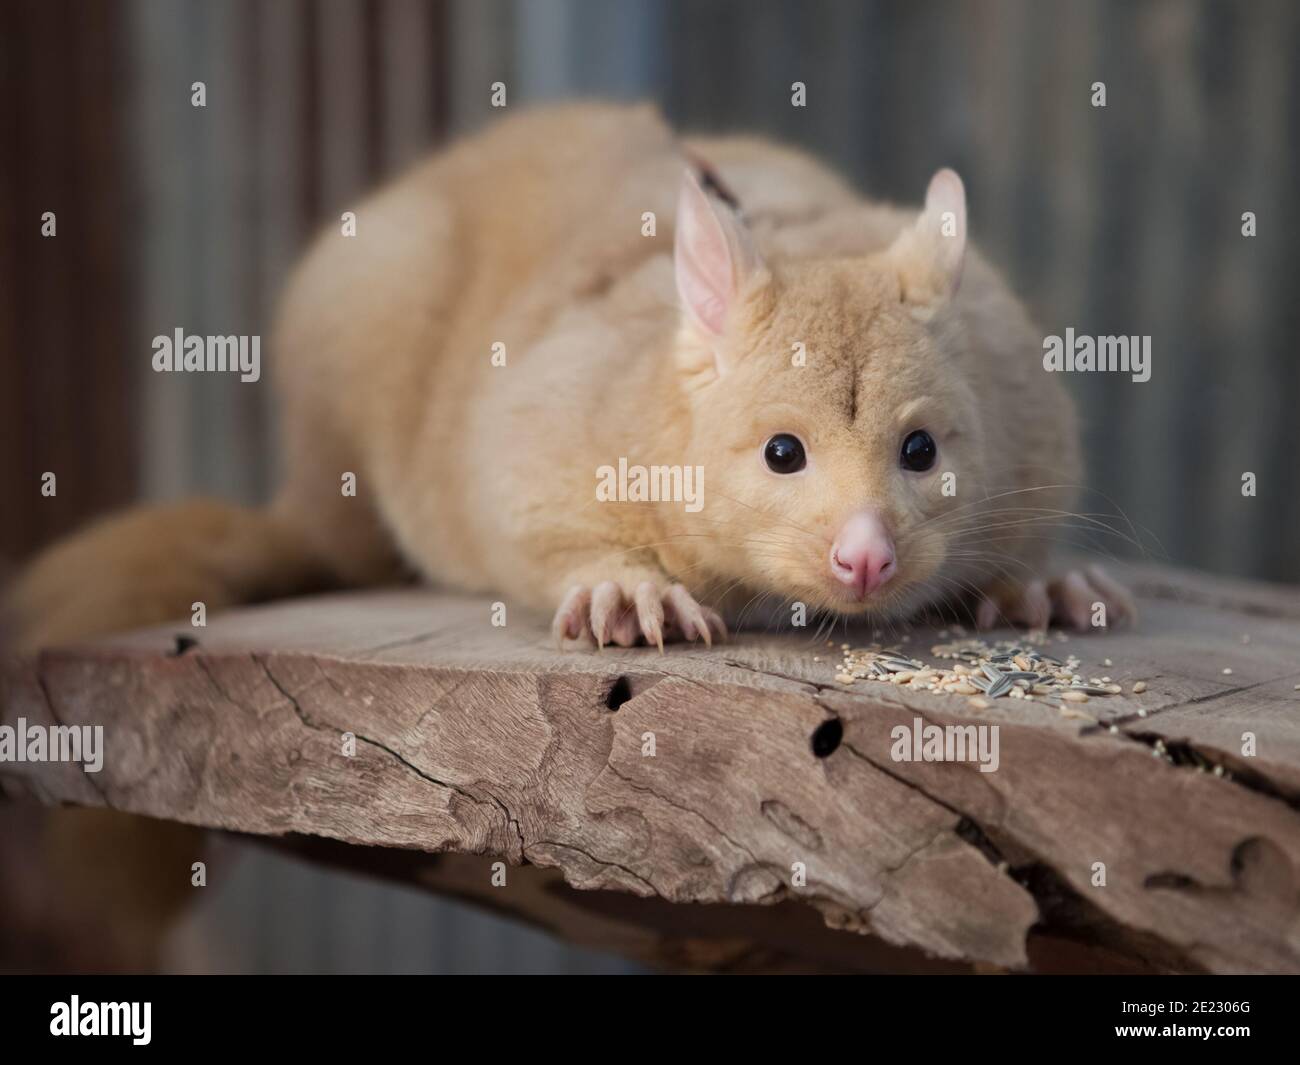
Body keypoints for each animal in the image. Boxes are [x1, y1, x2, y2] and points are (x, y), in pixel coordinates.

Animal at [8, 102, 1134, 652]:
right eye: (781, 452)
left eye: (923, 448)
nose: (867, 563)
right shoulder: (548, 434)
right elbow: (551, 528)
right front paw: (627, 600)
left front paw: (1044, 585)